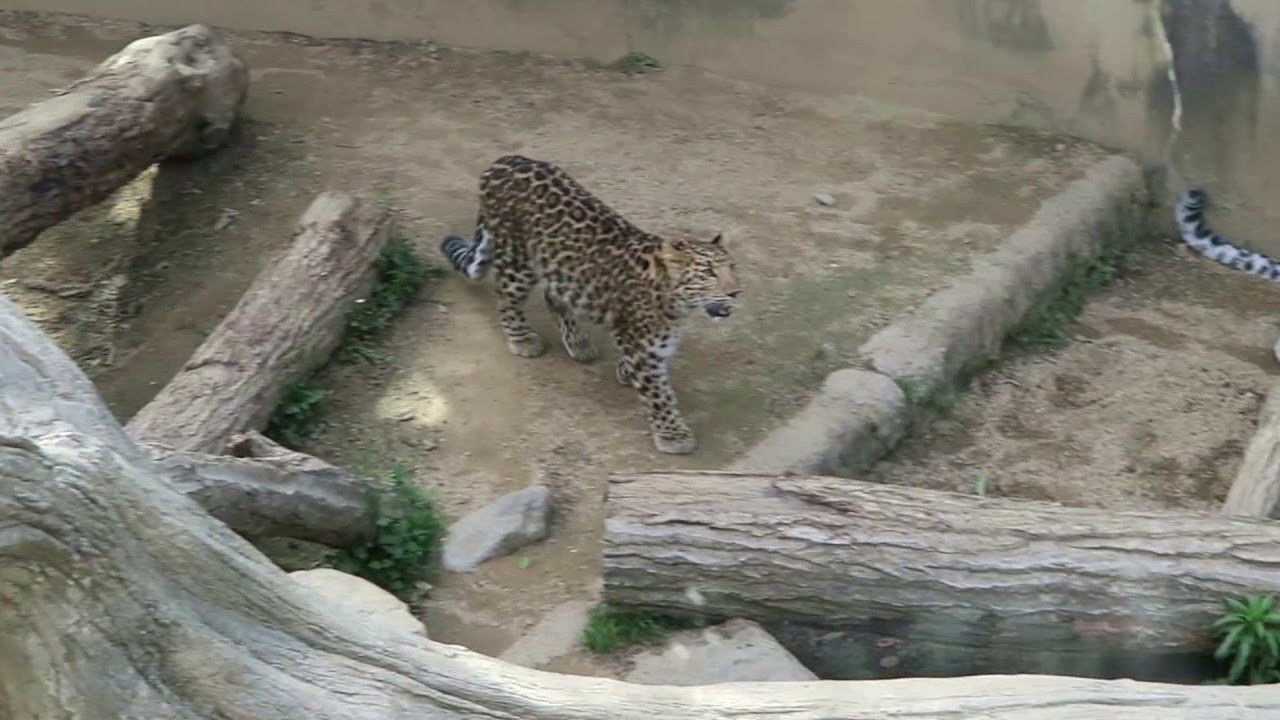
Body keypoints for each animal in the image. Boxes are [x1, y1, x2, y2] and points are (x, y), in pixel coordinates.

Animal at [439, 154, 741, 455]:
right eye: (709, 273)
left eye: (732, 267)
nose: (736, 292)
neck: (678, 305)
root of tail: (503, 161)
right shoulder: (645, 349)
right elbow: (659, 394)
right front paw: (673, 435)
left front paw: (625, 371)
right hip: (518, 261)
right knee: (506, 296)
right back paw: (522, 339)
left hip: (558, 265)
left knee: (553, 295)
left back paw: (579, 343)